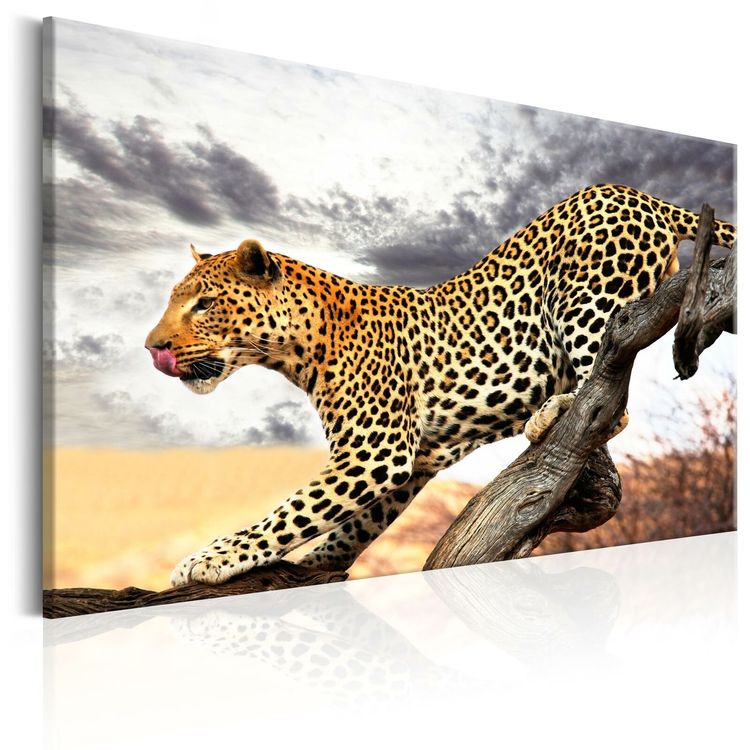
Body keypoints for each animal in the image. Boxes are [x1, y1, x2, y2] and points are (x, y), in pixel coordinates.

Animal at [145, 184, 736, 587]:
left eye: (204, 303)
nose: (152, 347)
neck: (300, 347)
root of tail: (640, 195)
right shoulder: (412, 460)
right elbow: (347, 523)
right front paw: (318, 563)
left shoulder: (374, 451)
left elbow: (290, 512)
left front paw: (210, 559)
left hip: (585, 301)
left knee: (612, 393)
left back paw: (552, 411)